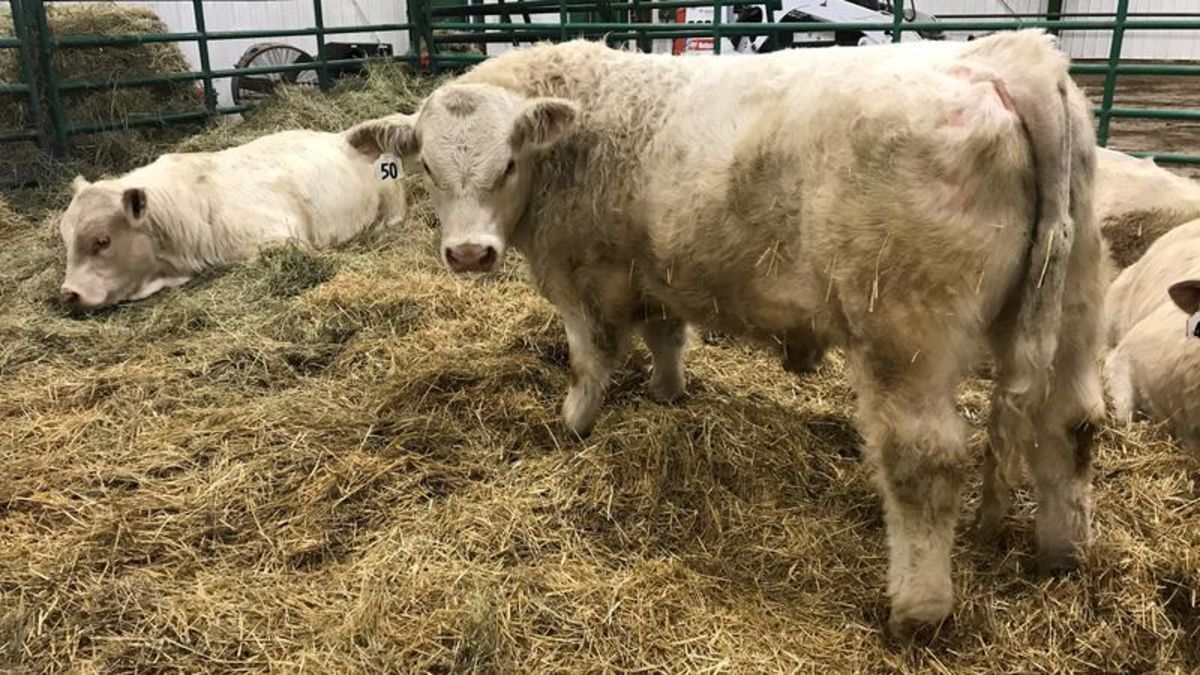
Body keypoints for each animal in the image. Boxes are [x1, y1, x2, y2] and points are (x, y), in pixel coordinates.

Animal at [348, 31, 1105, 637]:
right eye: (429, 168)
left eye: (506, 164)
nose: (469, 253)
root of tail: (1007, 59)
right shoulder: (654, 271)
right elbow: (665, 335)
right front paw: (667, 393)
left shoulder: (581, 277)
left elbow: (591, 358)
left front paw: (572, 426)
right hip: (1075, 310)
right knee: (1069, 427)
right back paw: (1060, 554)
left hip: (907, 337)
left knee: (926, 463)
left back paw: (917, 610)